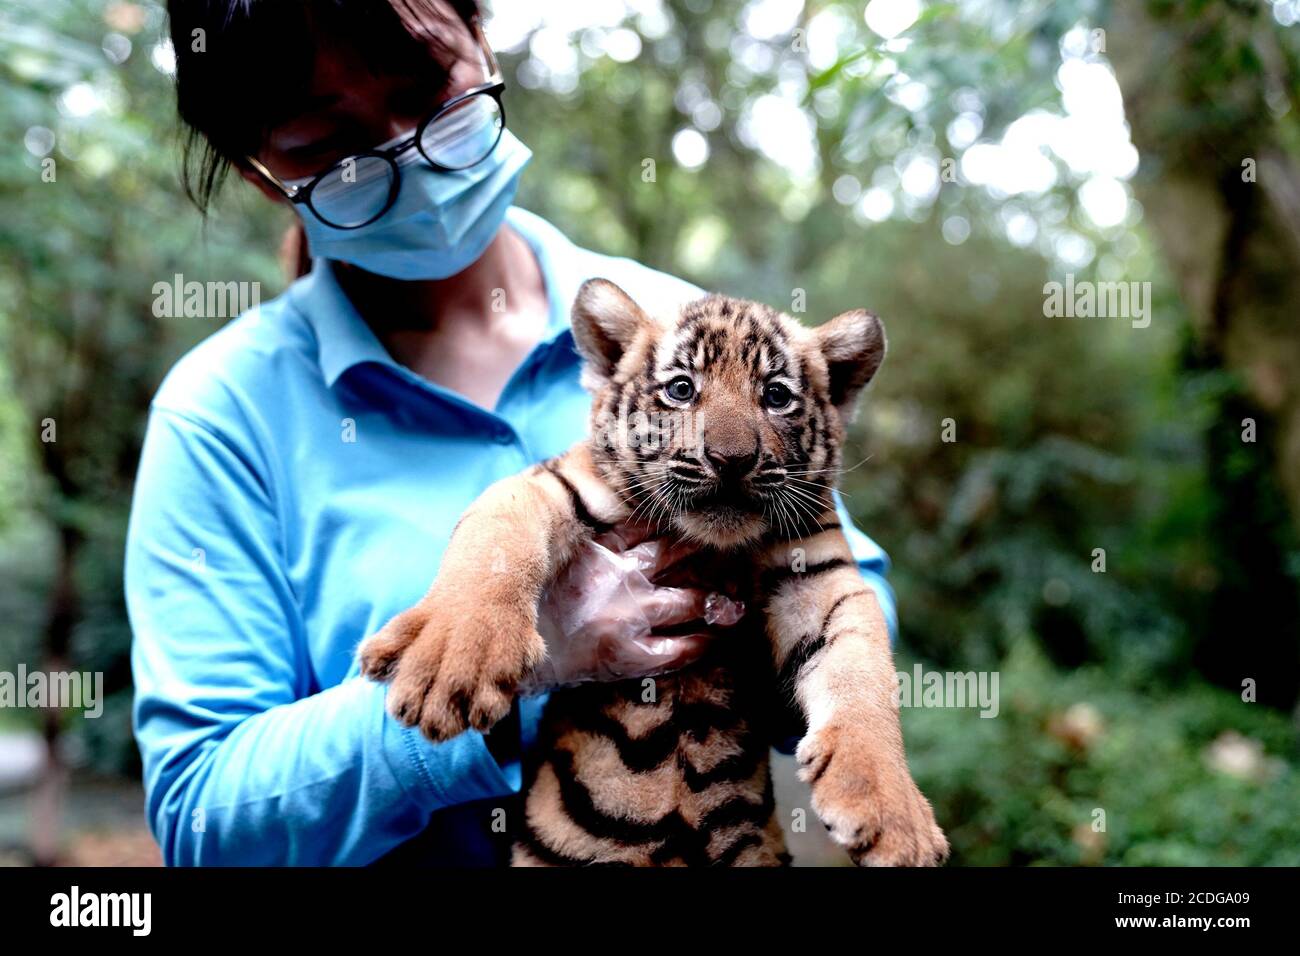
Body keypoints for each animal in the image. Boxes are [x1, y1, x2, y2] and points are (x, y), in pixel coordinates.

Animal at [358, 278, 949, 867]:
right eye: (682, 389)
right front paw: (452, 665)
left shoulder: (820, 572)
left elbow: (862, 667)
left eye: (776, 396)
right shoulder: (552, 484)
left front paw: (893, 815)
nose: (730, 459)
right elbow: (494, 539)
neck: (710, 544)